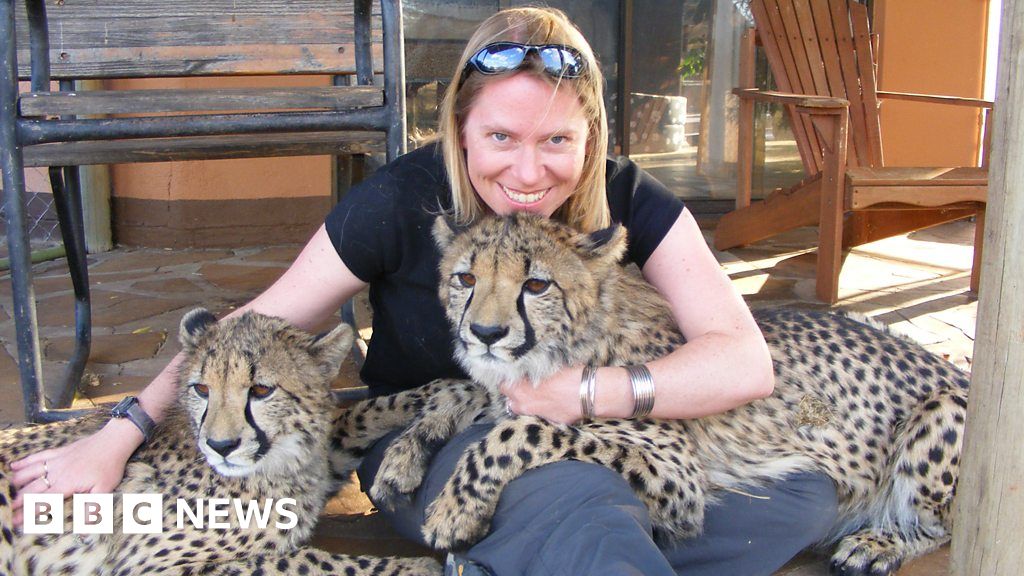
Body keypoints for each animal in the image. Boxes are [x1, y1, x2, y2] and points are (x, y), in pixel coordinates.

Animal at [0, 308, 440, 575]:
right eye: (202, 389)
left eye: (261, 389)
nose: (220, 446)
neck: (278, 464)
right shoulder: (152, 565)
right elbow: (300, 561)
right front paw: (415, 567)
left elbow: (357, 416)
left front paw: (438, 395)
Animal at [340, 213, 969, 576]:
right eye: (466, 278)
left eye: (536, 283)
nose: (486, 333)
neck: (572, 344)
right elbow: (451, 389)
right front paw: (401, 451)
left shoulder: (678, 477)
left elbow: (527, 428)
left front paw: (456, 505)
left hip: (940, 414)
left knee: (940, 527)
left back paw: (877, 545)